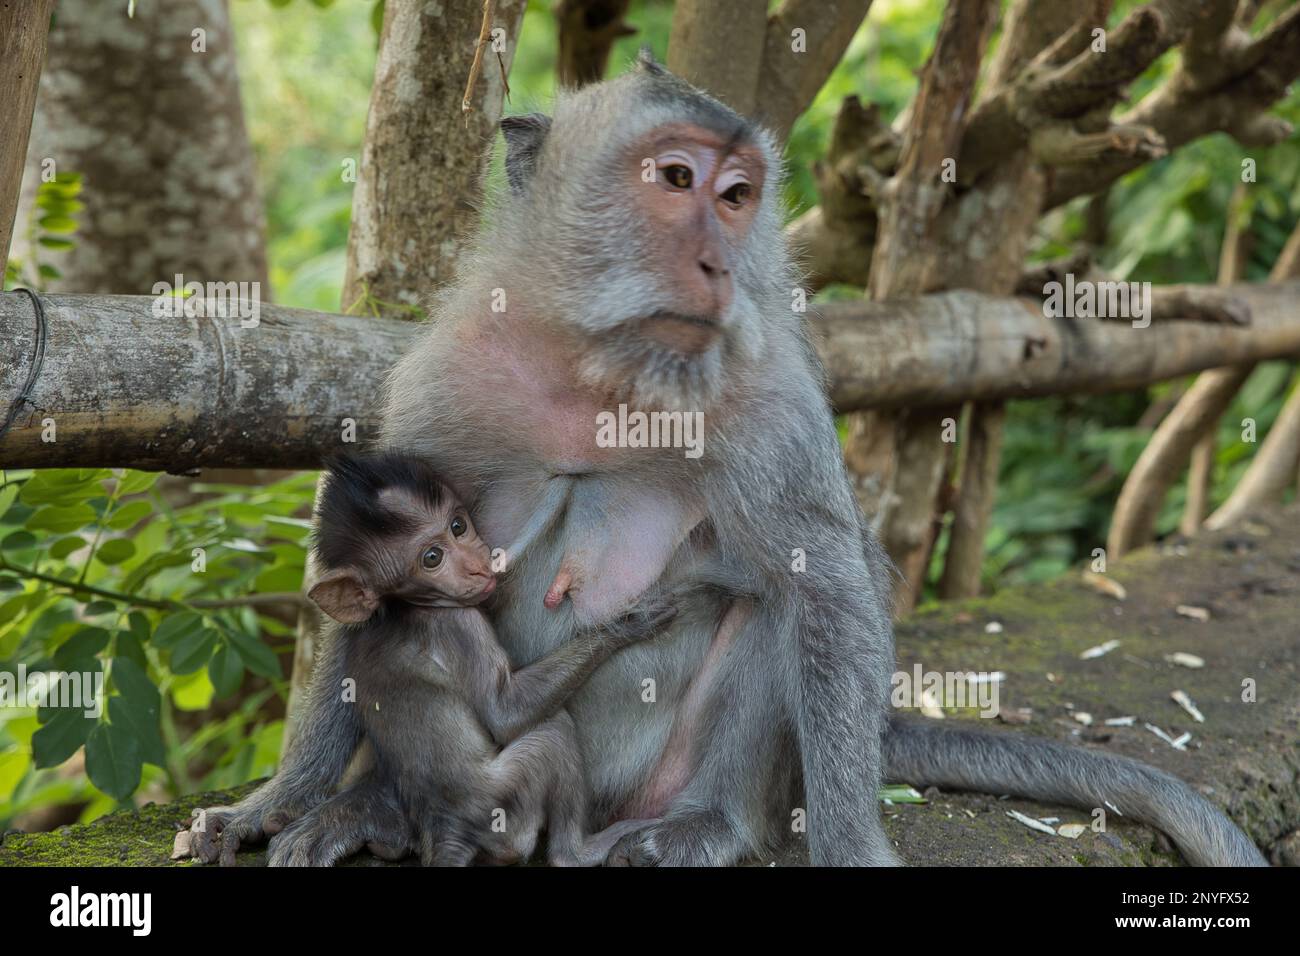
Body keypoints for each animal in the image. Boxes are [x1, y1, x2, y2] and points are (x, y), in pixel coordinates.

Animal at [188, 53, 1265, 868]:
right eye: (676, 179)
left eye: (739, 196)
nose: (716, 261)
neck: (610, 373)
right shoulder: (445, 377)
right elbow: (364, 591)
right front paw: (283, 799)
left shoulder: (770, 398)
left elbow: (829, 582)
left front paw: (848, 847)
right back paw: (373, 805)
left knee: (772, 605)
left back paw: (709, 822)